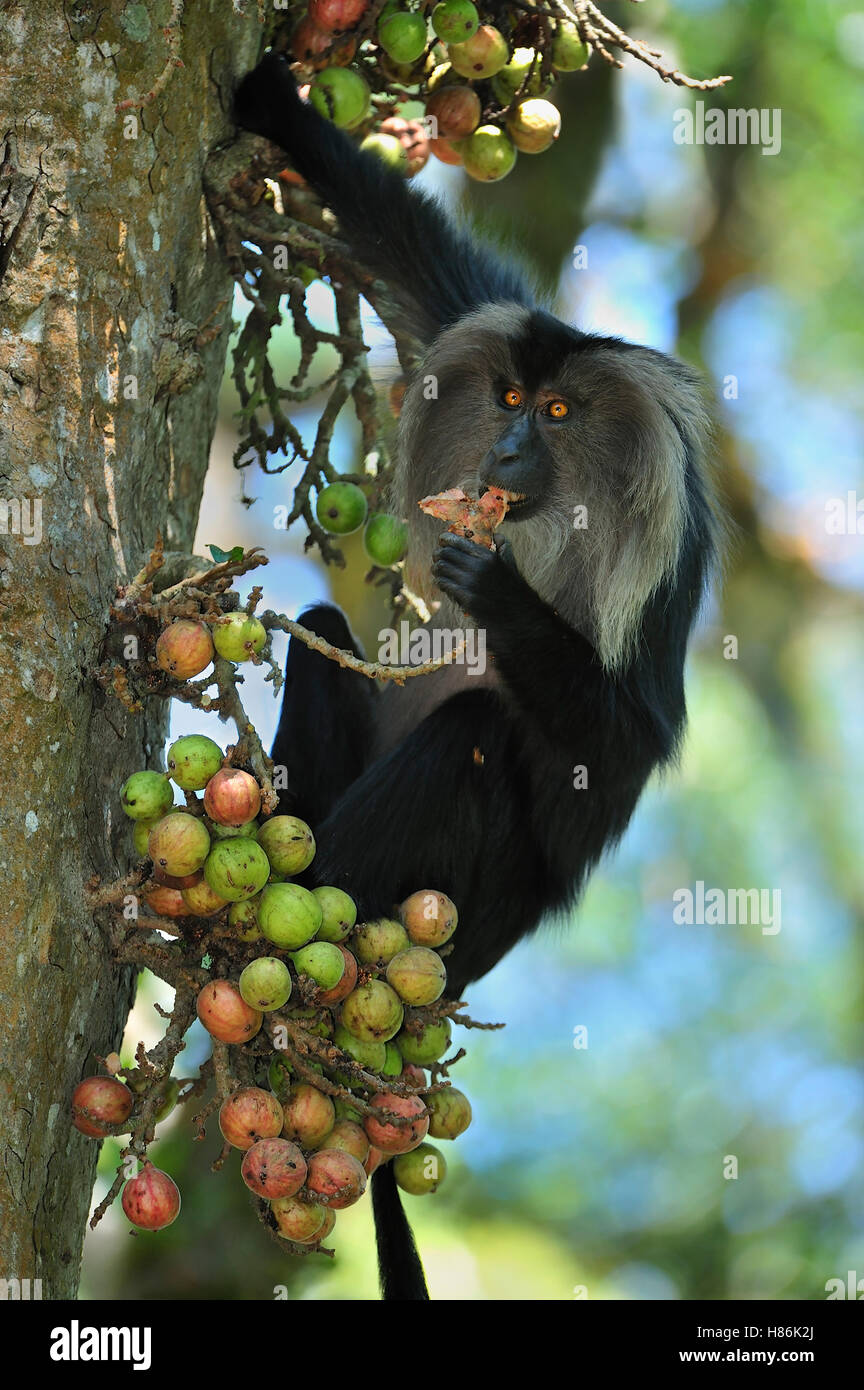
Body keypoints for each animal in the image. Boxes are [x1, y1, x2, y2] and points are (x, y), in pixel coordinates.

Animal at [234, 52, 721, 1301]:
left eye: (553, 413)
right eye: (504, 401)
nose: (503, 454)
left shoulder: (667, 569)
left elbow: (627, 740)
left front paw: (499, 597)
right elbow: (410, 249)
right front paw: (274, 103)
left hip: (463, 925)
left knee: (476, 737)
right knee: (323, 625)